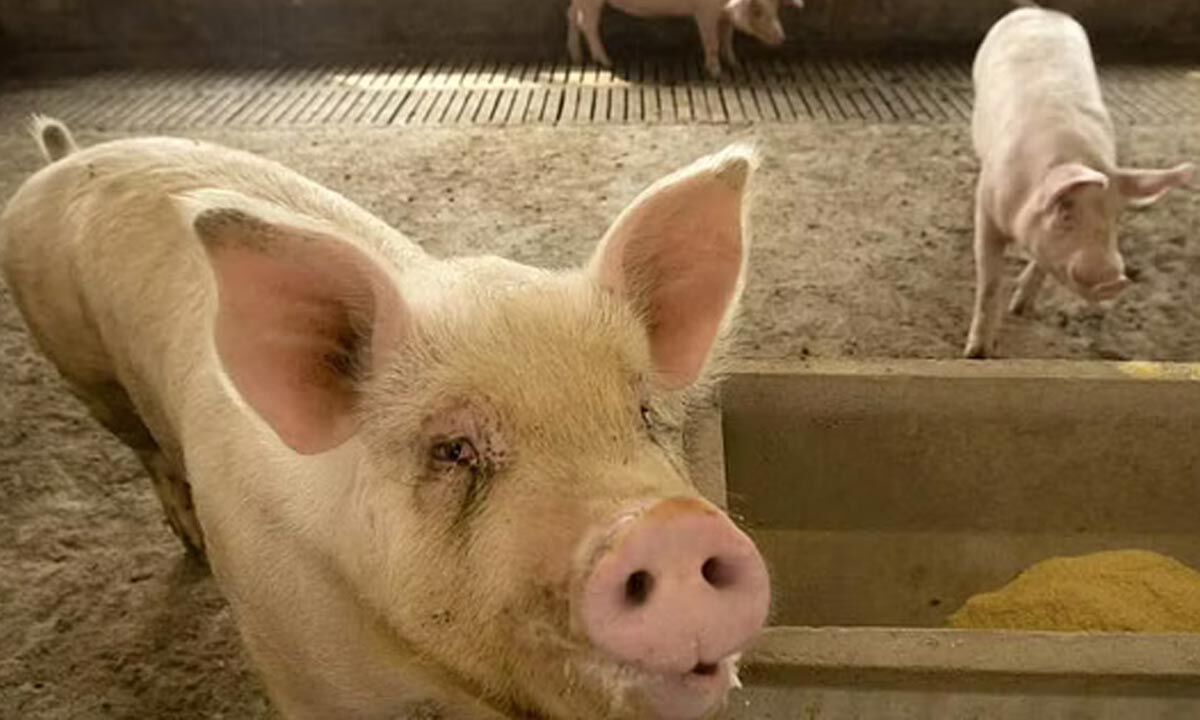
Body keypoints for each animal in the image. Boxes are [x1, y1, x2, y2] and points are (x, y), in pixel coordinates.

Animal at [0, 116, 771, 720]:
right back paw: (188, 542)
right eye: (452, 448)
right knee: (145, 449)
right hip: (83, 367)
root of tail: (64, 155)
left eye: (643, 413)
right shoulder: (300, 675)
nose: (669, 527)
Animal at [566, 0, 805, 79]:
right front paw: (715, 73)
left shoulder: (723, 15)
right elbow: (711, 41)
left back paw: (577, 58)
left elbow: (727, 37)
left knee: (572, 16)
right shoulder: (705, 11)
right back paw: (606, 62)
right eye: (757, 10)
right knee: (588, 24)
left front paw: (734, 64)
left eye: (776, 7)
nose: (782, 37)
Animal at [965, 2, 1194, 359]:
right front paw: (976, 353)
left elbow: (1041, 262)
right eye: (1066, 213)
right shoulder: (987, 209)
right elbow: (989, 282)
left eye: (1116, 217)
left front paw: (1021, 309)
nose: (1114, 281)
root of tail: (1039, 11)